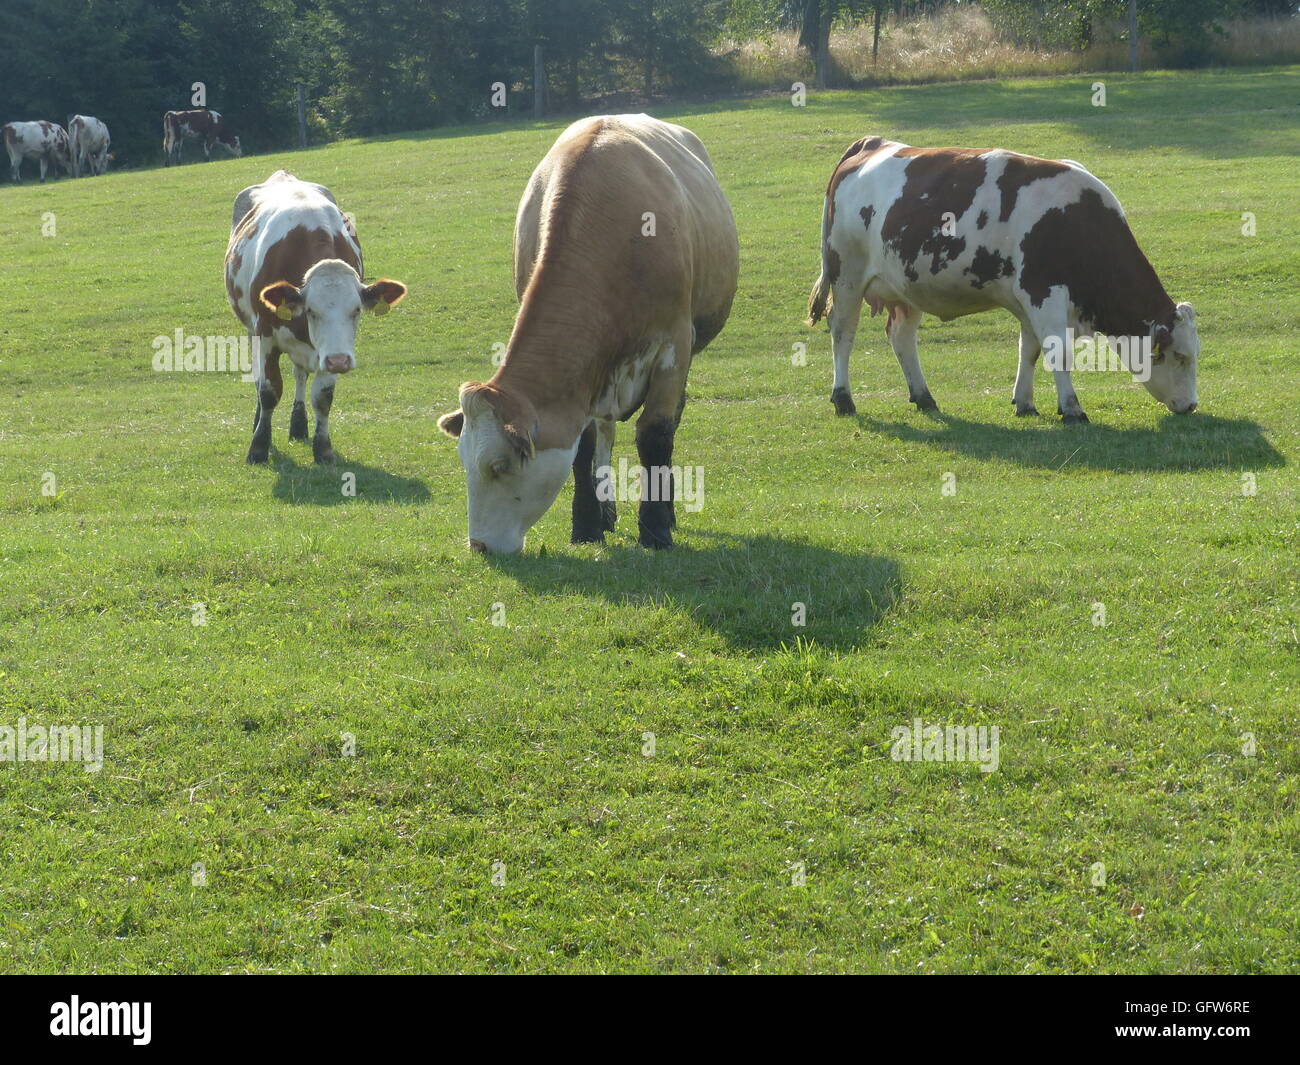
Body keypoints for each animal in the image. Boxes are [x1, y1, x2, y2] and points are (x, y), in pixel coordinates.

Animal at [225, 170, 407, 465]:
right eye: (311, 310)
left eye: (356, 310)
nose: (339, 361)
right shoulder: (265, 335)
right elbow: (268, 391)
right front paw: (258, 447)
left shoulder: (328, 348)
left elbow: (323, 397)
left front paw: (323, 448)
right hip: (250, 329)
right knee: (259, 379)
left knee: (300, 374)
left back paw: (299, 425)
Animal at [437, 114, 739, 555]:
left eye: (499, 465)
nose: (479, 546)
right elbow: (586, 446)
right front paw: (586, 525)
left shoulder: (674, 345)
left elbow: (655, 434)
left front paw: (655, 529)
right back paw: (607, 511)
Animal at [807, 137, 1200, 423]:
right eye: (1180, 357)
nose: (1193, 405)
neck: (1077, 223)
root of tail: (871, 144)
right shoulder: (1044, 293)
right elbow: (1058, 351)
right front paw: (1072, 408)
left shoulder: (1029, 300)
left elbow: (1030, 350)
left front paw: (1024, 402)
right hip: (847, 273)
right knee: (843, 332)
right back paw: (843, 398)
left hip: (905, 286)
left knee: (901, 337)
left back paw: (924, 396)